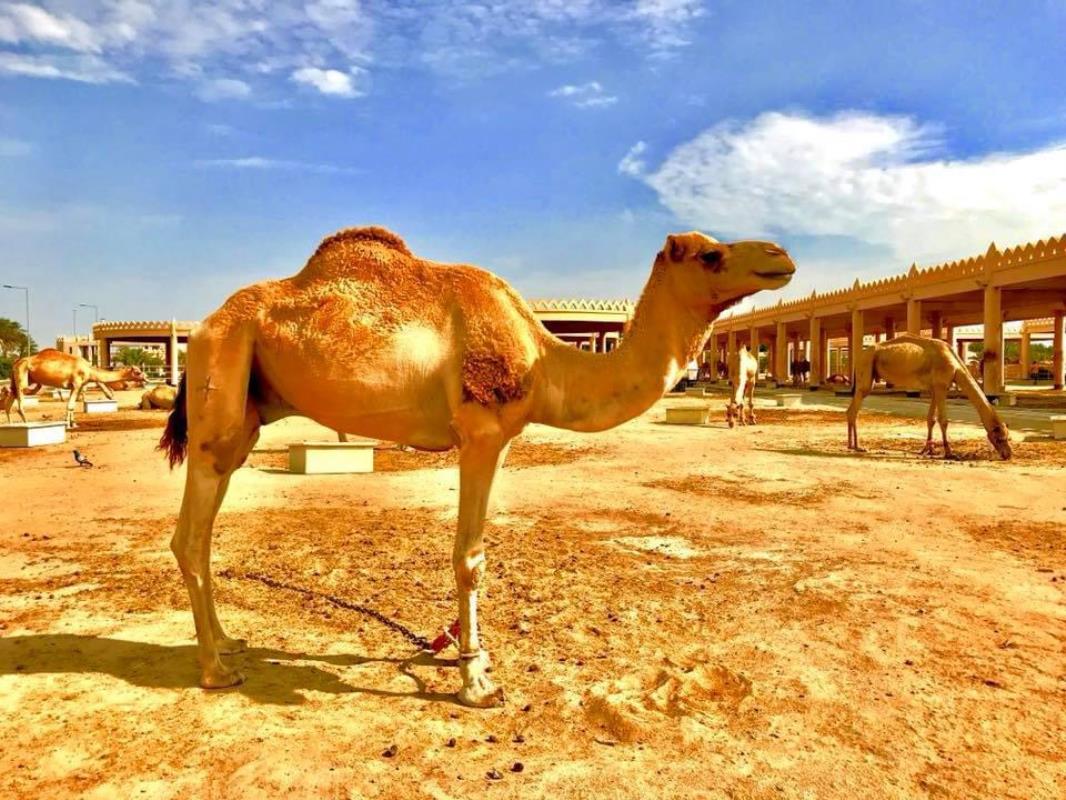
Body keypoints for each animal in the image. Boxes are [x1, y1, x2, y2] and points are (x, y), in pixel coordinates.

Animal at [9, 349, 145, 427]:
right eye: (138, 372)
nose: (146, 377)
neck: (89, 370)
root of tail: (16, 362)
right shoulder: (76, 384)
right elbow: (70, 405)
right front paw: (68, 425)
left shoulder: (77, 386)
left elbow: (72, 406)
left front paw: (73, 423)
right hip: (21, 375)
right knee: (20, 402)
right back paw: (27, 424)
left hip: (20, 379)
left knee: (11, 396)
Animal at [159, 225, 795, 706]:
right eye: (711, 254)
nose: (781, 256)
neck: (546, 360)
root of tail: (202, 326)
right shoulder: (481, 434)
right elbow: (470, 558)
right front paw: (476, 683)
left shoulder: (503, 440)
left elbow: (479, 552)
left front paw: (472, 659)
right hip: (222, 371)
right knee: (190, 532)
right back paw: (216, 670)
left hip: (244, 407)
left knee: (205, 529)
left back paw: (229, 642)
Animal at [847, 334, 1011, 460]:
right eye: (1000, 438)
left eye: (1008, 437)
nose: (1008, 455)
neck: (956, 367)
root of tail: (859, 357)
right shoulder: (941, 387)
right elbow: (943, 420)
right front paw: (949, 453)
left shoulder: (934, 389)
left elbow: (930, 419)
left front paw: (928, 450)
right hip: (866, 369)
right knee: (854, 408)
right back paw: (856, 446)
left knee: (851, 410)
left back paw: (852, 445)